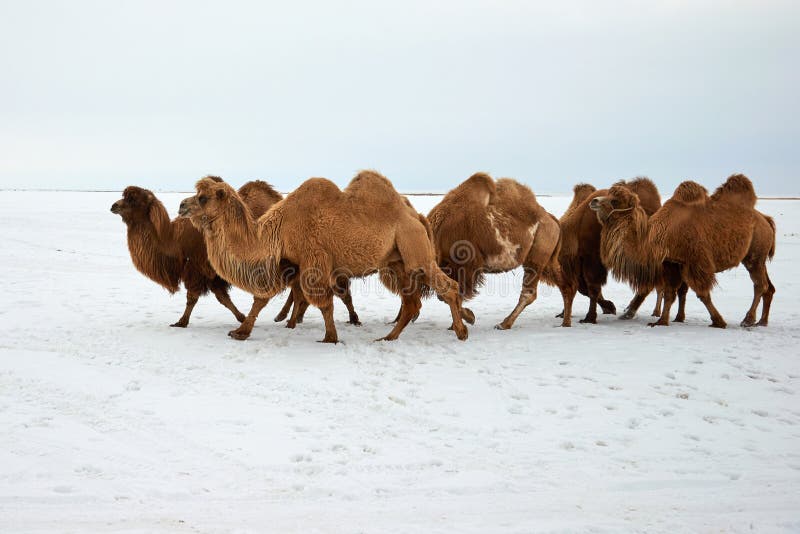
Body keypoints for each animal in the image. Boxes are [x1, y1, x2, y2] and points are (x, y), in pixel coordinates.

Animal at [178, 171, 467, 342]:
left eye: (202, 198)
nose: (181, 205)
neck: (279, 229)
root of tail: (416, 216)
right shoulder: (289, 263)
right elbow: (262, 299)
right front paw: (240, 331)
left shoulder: (313, 261)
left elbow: (323, 302)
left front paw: (330, 337)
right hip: (397, 261)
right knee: (411, 303)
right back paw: (388, 337)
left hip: (415, 251)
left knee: (447, 286)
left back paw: (461, 332)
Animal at [427, 172, 570, 328]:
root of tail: (553, 220)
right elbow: (446, 293)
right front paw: (457, 324)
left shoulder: (465, 265)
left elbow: (449, 293)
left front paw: (469, 317)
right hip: (545, 259)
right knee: (564, 282)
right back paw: (566, 321)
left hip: (536, 259)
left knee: (529, 293)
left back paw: (504, 324)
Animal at [558, 177, 667, 324]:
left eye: (615, 201)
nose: (594, 201)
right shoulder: (583, 260)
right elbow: (586, 288)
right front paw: (608, 308)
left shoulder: (591, 259)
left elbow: (592, 288)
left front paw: (591, 317)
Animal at [589, 173, 775, 328]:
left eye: (615, 200)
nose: (594, 201)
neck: (659, 234)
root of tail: (766, 220)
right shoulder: (672, 262)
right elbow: (670, 293)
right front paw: (662, 321)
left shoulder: (696, 262)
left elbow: (702, 294)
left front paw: (718, 321)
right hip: (758, 258)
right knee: (769, 287)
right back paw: (762, 321)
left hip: (755, 254)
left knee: (760, 285)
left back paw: (748, 320)